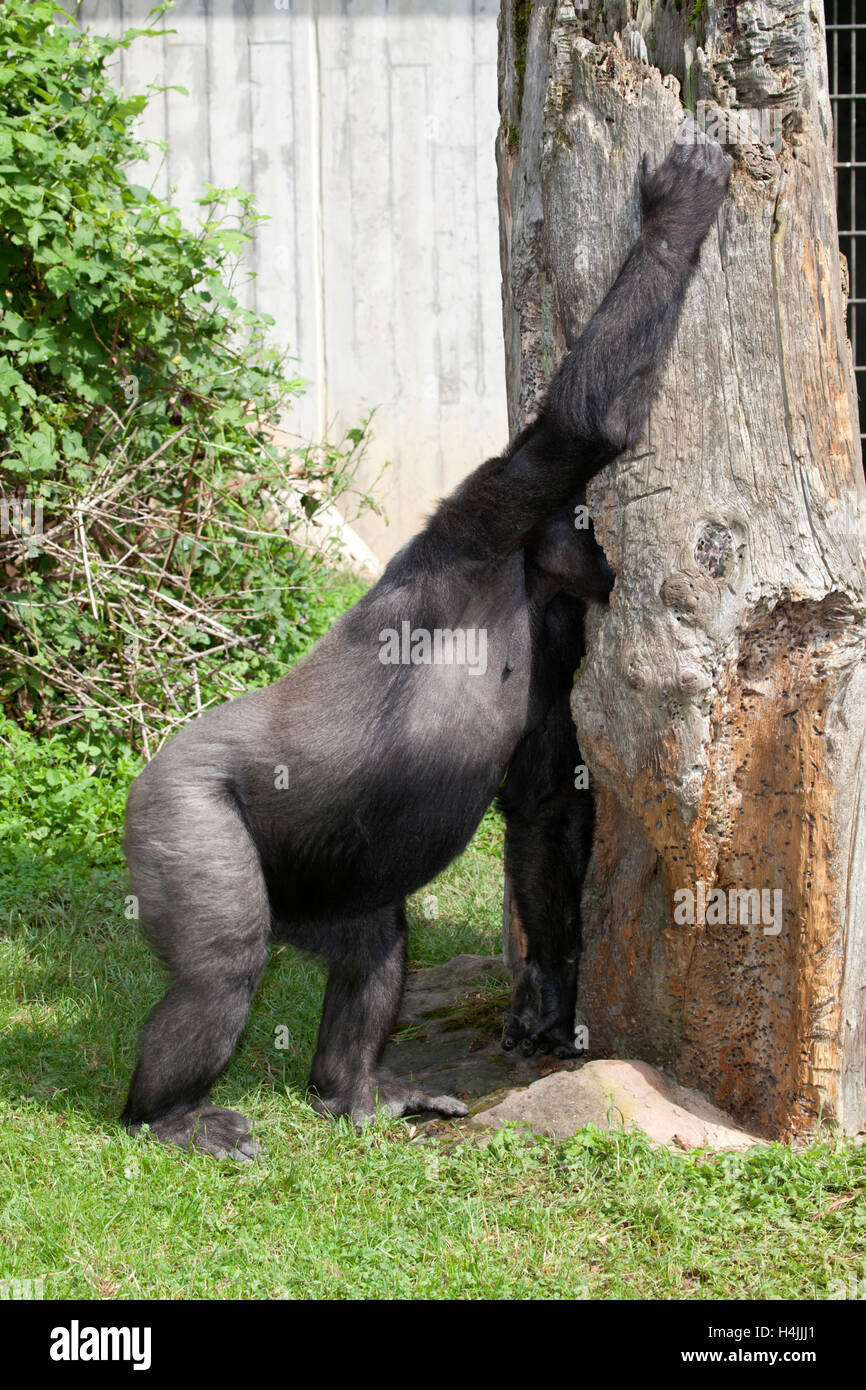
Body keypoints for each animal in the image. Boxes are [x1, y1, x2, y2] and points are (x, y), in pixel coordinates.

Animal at [121, 128, 731, 1158]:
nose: (609, 568)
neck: (524, 577)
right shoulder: (484, 511)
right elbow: (581, 427)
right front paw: (675, 215)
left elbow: (543, 812)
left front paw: (551, 987)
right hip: (174, 807)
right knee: (221, 965)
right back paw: (166, 1116)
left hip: (324, 893)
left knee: (373, 942)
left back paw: (354, 1089)